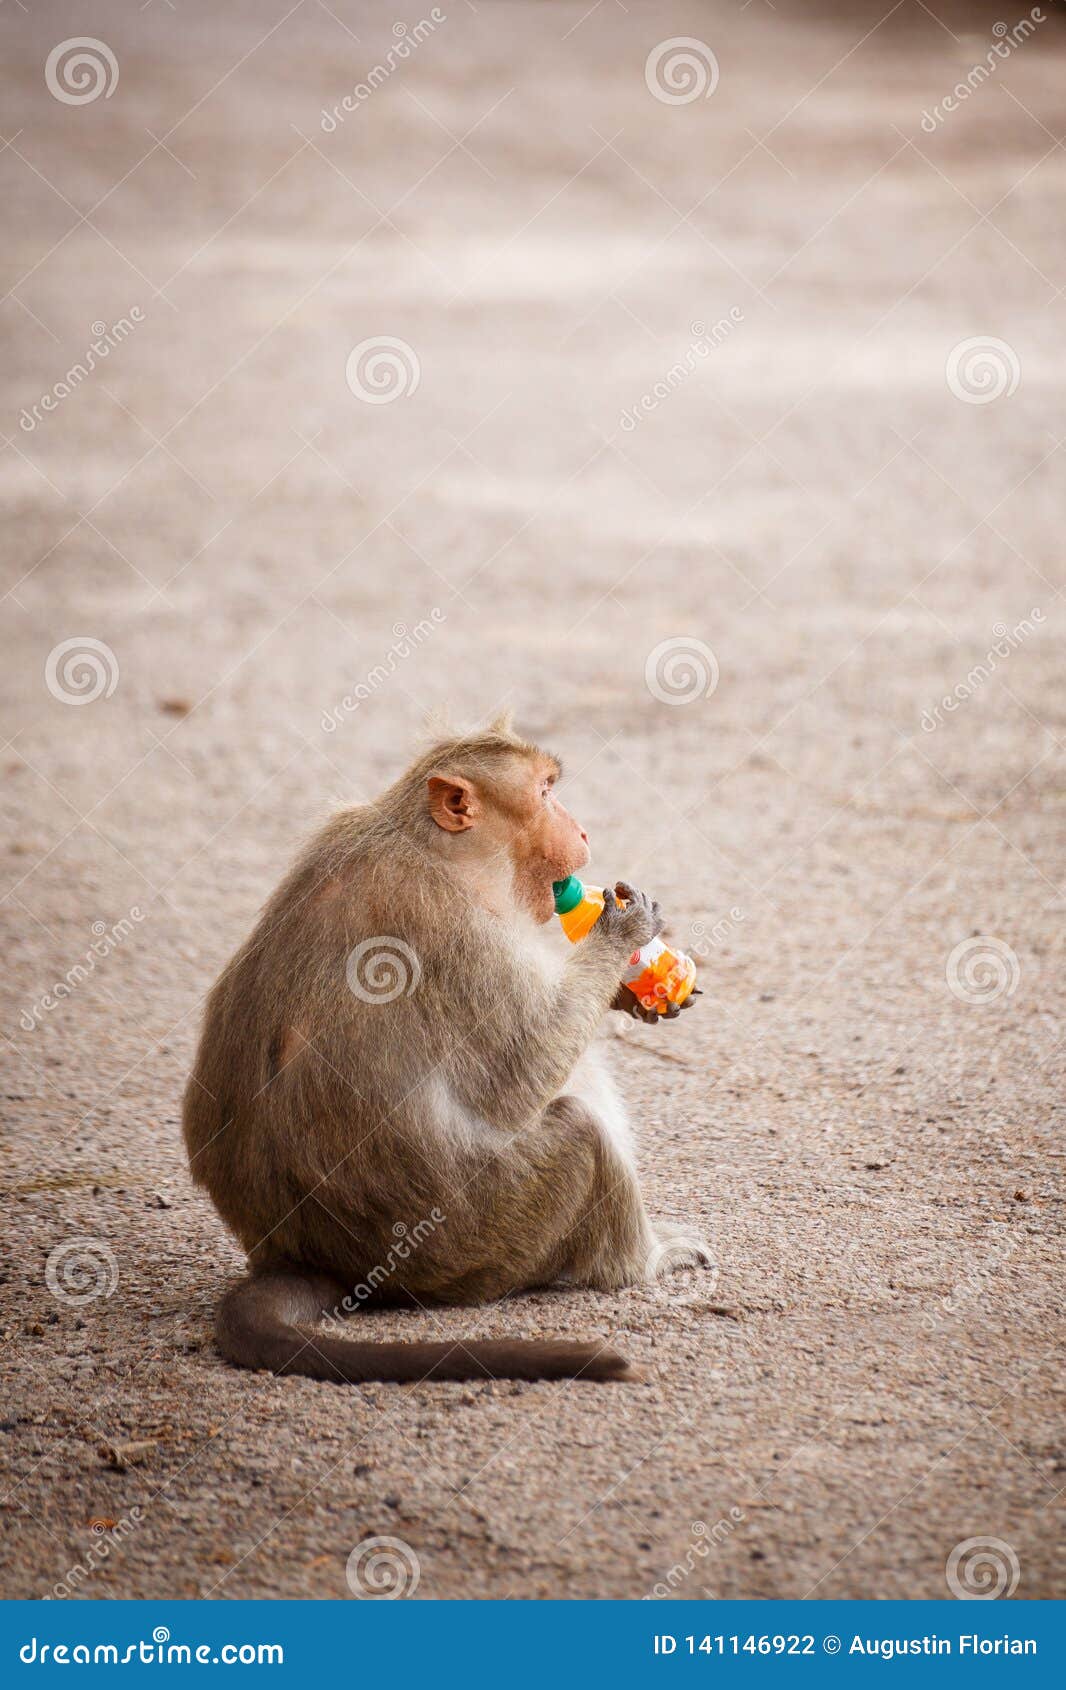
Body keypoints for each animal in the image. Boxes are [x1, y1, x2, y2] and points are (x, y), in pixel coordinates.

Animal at [182, 715, 708, 1386]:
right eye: (544, 793)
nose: (584, 829)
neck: (434, 848)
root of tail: (310, 1257)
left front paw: (640, 988)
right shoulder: (453, 925)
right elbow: (514, 1081)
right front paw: (619, 934)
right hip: (473, 1241)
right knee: (578, 1129)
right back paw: (641, 1261)